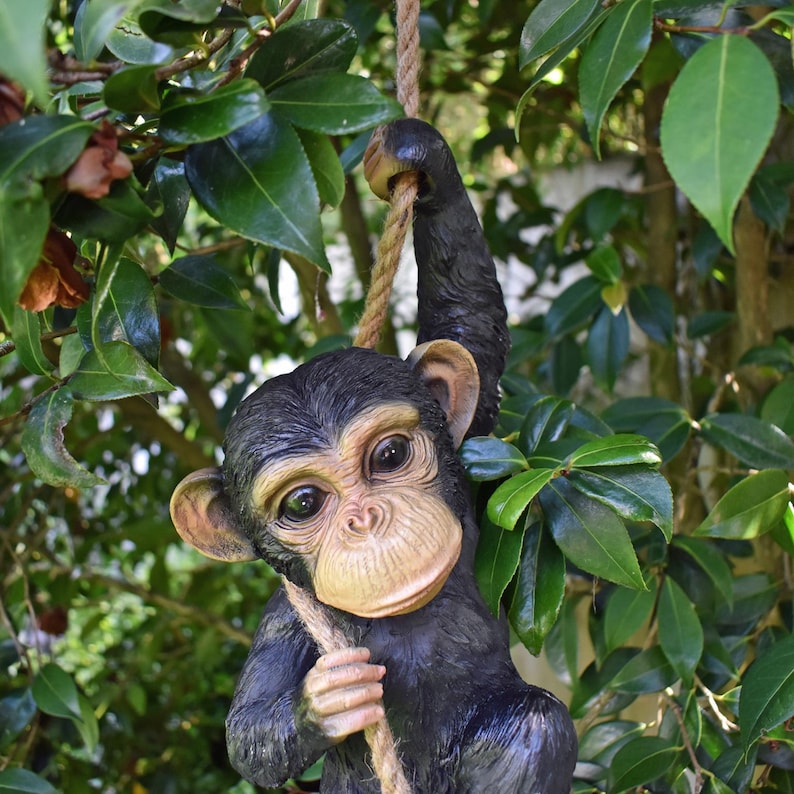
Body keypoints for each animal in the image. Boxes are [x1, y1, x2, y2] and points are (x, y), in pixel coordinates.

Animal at [170, 118, 577, 793]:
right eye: (303, 503)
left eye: (388, 455)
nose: (368, 519)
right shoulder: (286, 617)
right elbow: (248, 735)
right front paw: (326, 702)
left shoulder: (472, 457)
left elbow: (473, 326)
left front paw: (414, 155)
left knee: (531, 728)